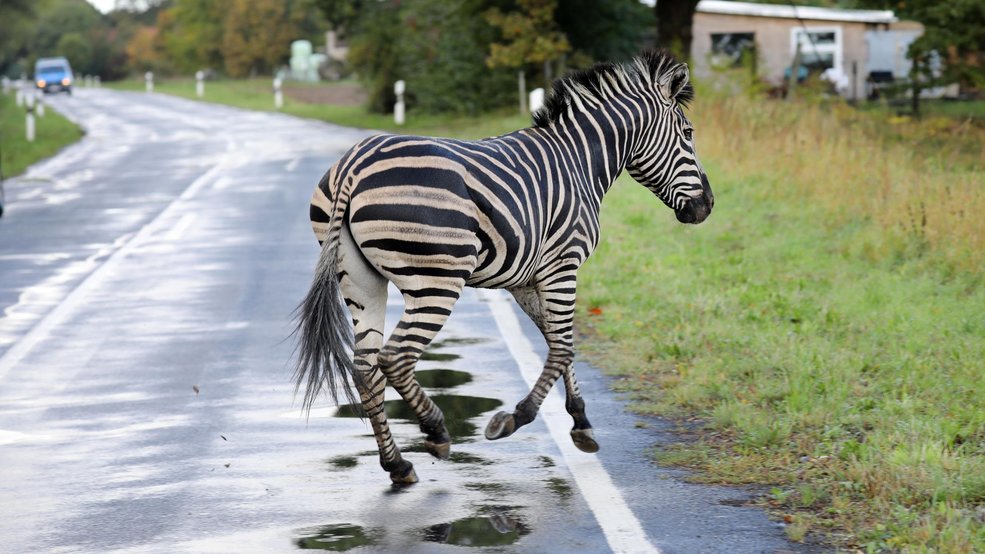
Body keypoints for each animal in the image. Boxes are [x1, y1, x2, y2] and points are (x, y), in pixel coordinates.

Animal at [295, 49, 713, 484]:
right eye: (688, 133)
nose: (707, 207)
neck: (579, 161)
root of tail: (354, 165)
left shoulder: (526, 280)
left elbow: (558, 341)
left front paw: (581, 422)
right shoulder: (563, 265)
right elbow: (563, 346)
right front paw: (515, 418)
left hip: (360, 280)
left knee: (365, 367)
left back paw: (397, 464)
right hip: (436, 280)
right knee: (394, 358)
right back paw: (435, 430)